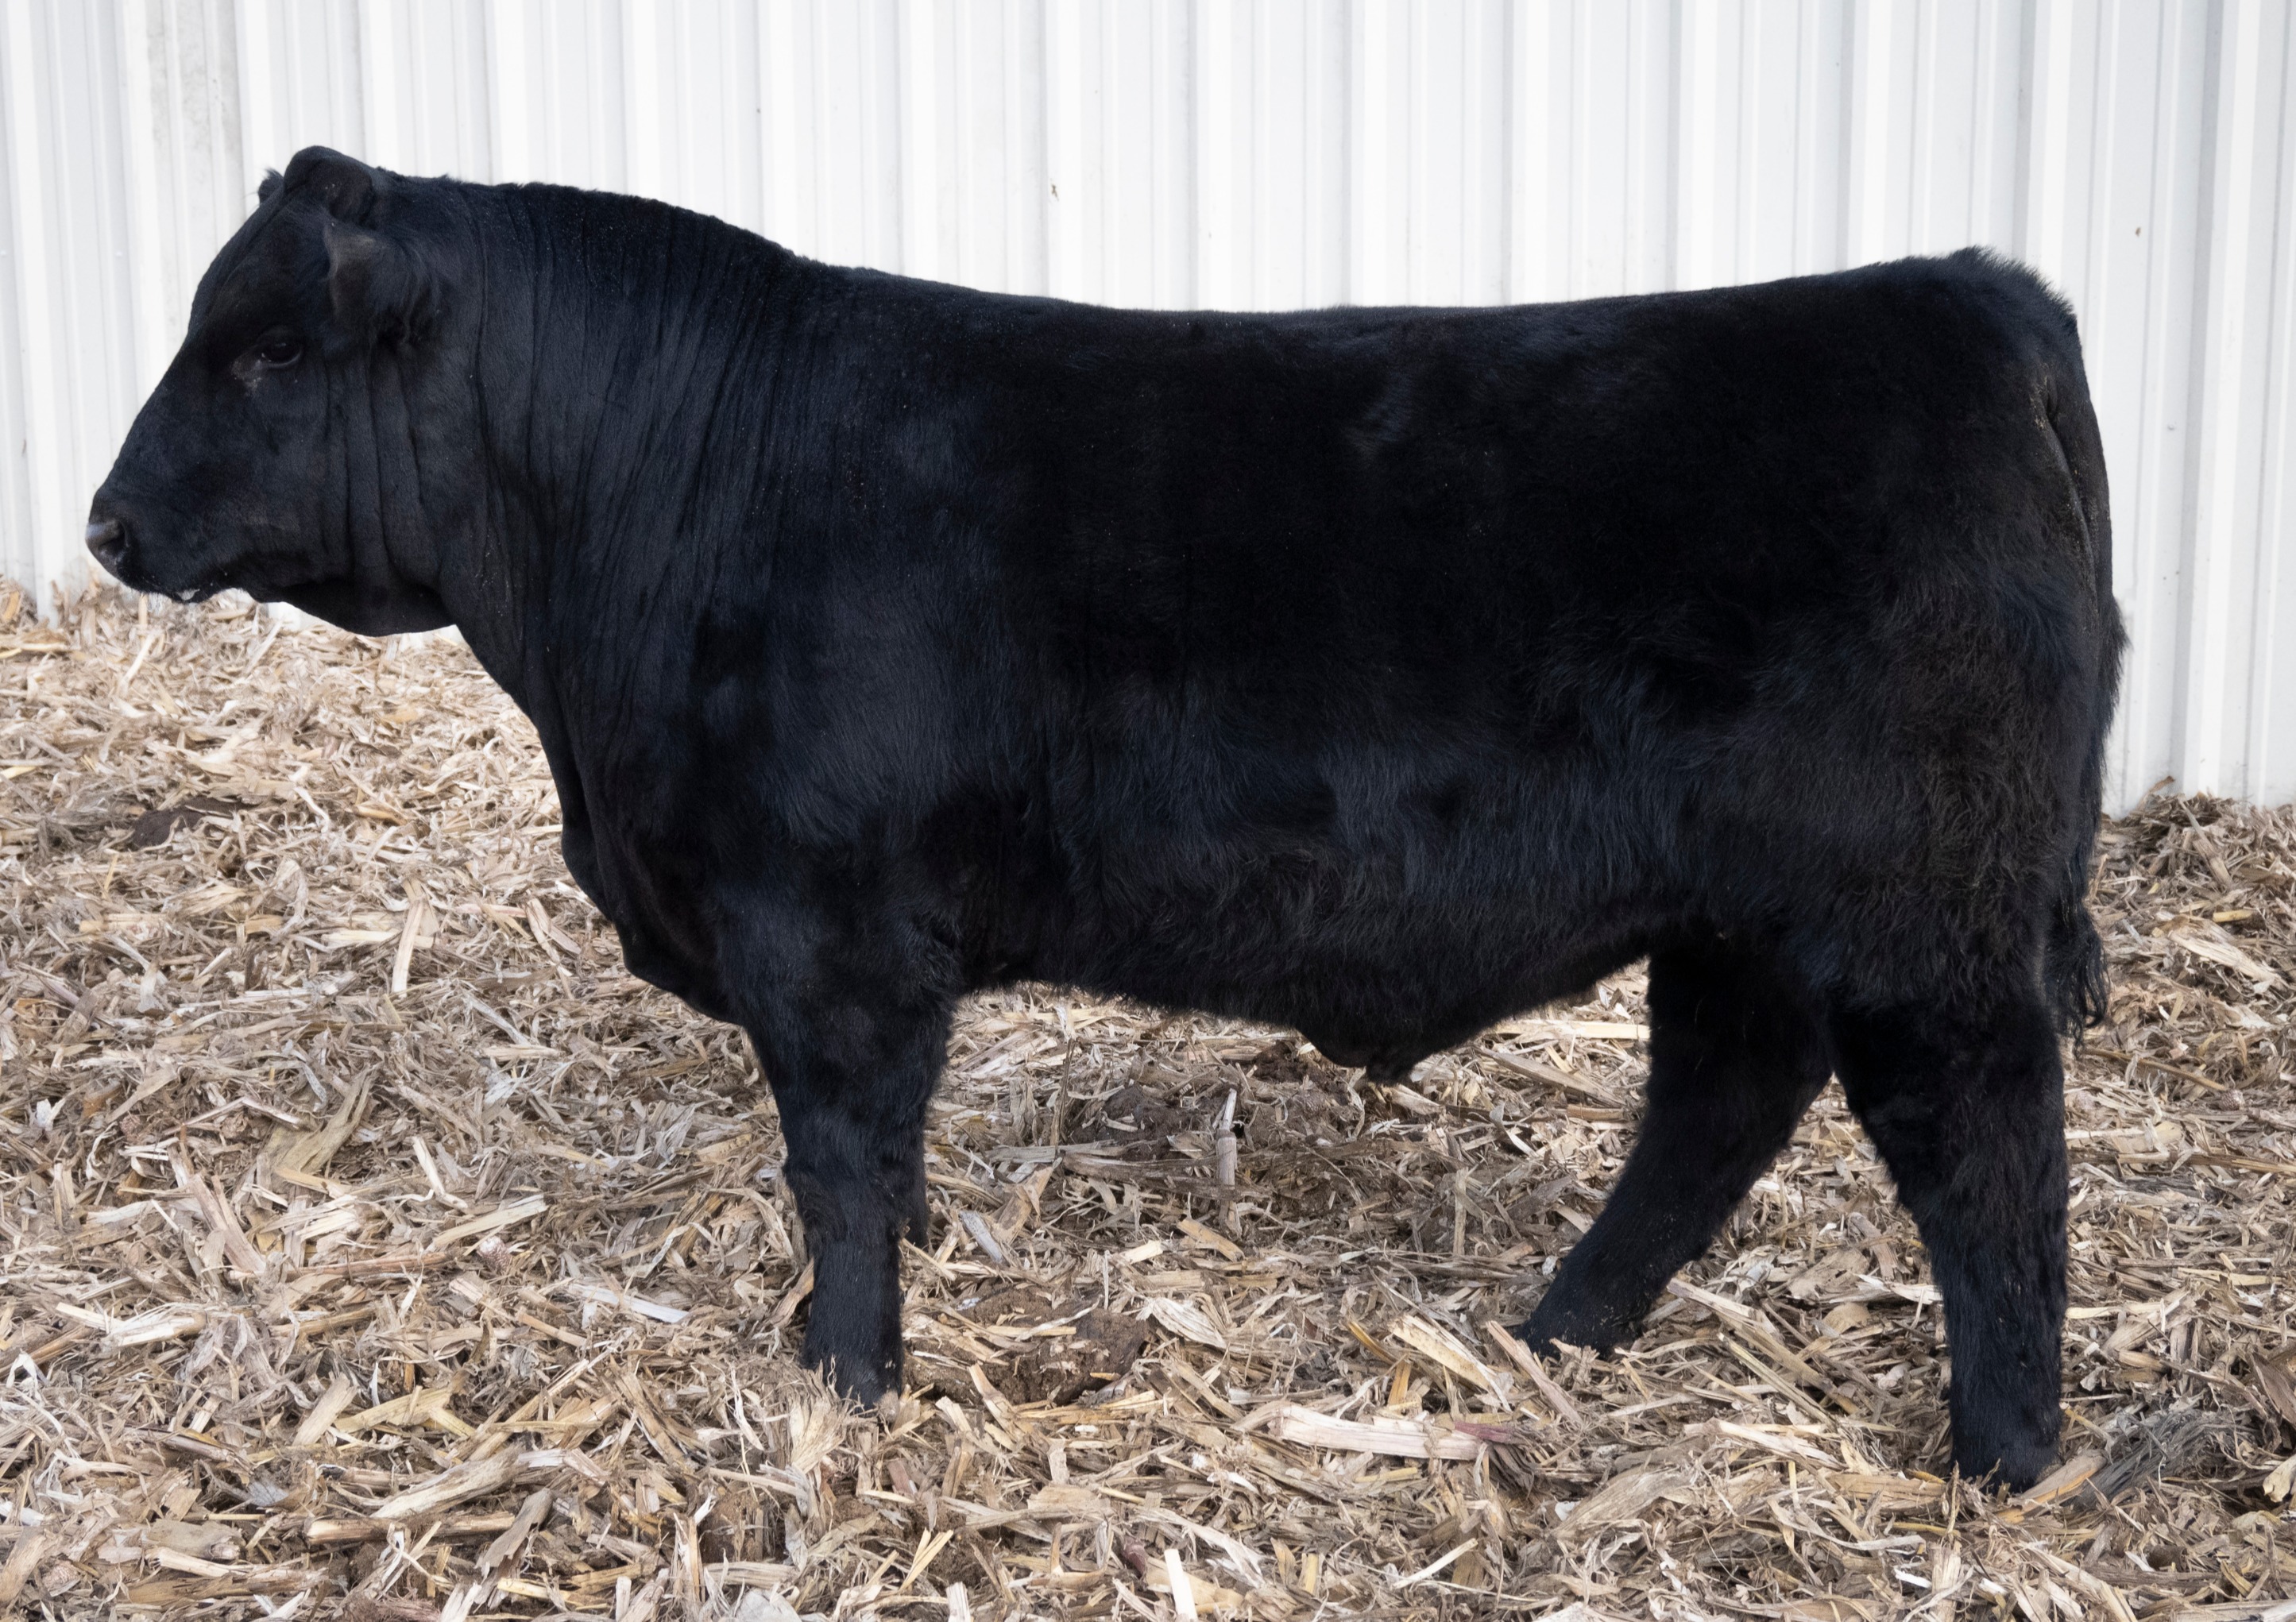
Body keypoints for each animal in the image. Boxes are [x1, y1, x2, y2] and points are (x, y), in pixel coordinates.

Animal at [88, 147, 2121, 1490]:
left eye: (268, 354)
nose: (103, 523)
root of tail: (1963, 293)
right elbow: (886, 1142)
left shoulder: (818, 920)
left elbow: (835, 1152)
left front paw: (846, 1374)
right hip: (1743, 917)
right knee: (1715, 1106)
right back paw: (1556, 1335)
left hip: (1918, 921)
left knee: (1979, 1146)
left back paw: (2003, 1453)